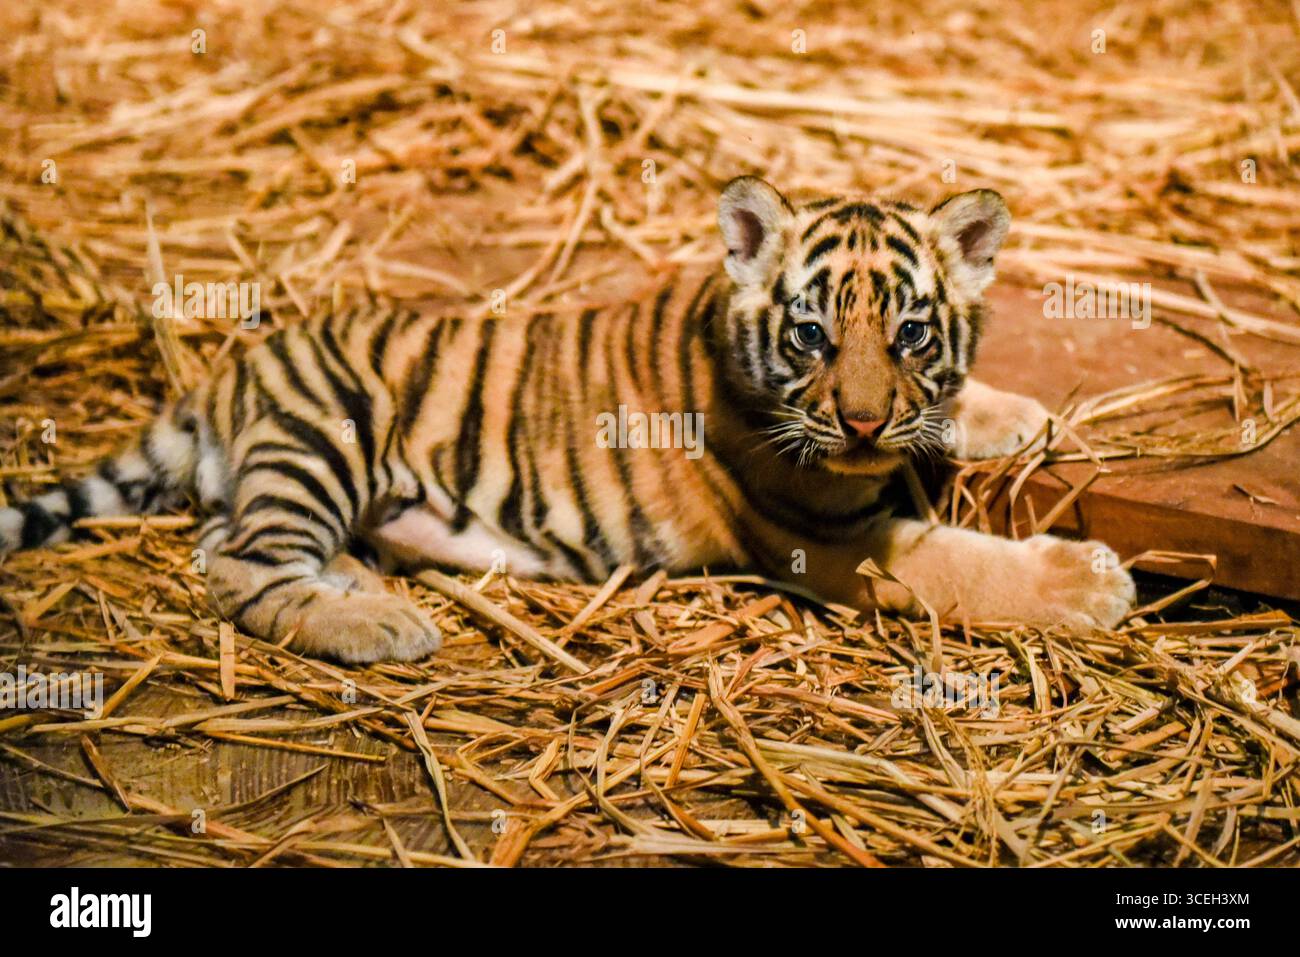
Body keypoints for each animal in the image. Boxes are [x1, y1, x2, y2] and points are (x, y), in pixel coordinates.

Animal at [0, 176, 1136, 663]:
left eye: (908, 334)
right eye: (811, 335)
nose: (860, 426)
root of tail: (229, 372)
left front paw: (1012, 411)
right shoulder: (825, 535)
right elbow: (961, 565)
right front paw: (1086, 584)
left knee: (232, 543)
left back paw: (368, 588)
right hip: (326, 435)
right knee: (239, 566)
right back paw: (381, 627)